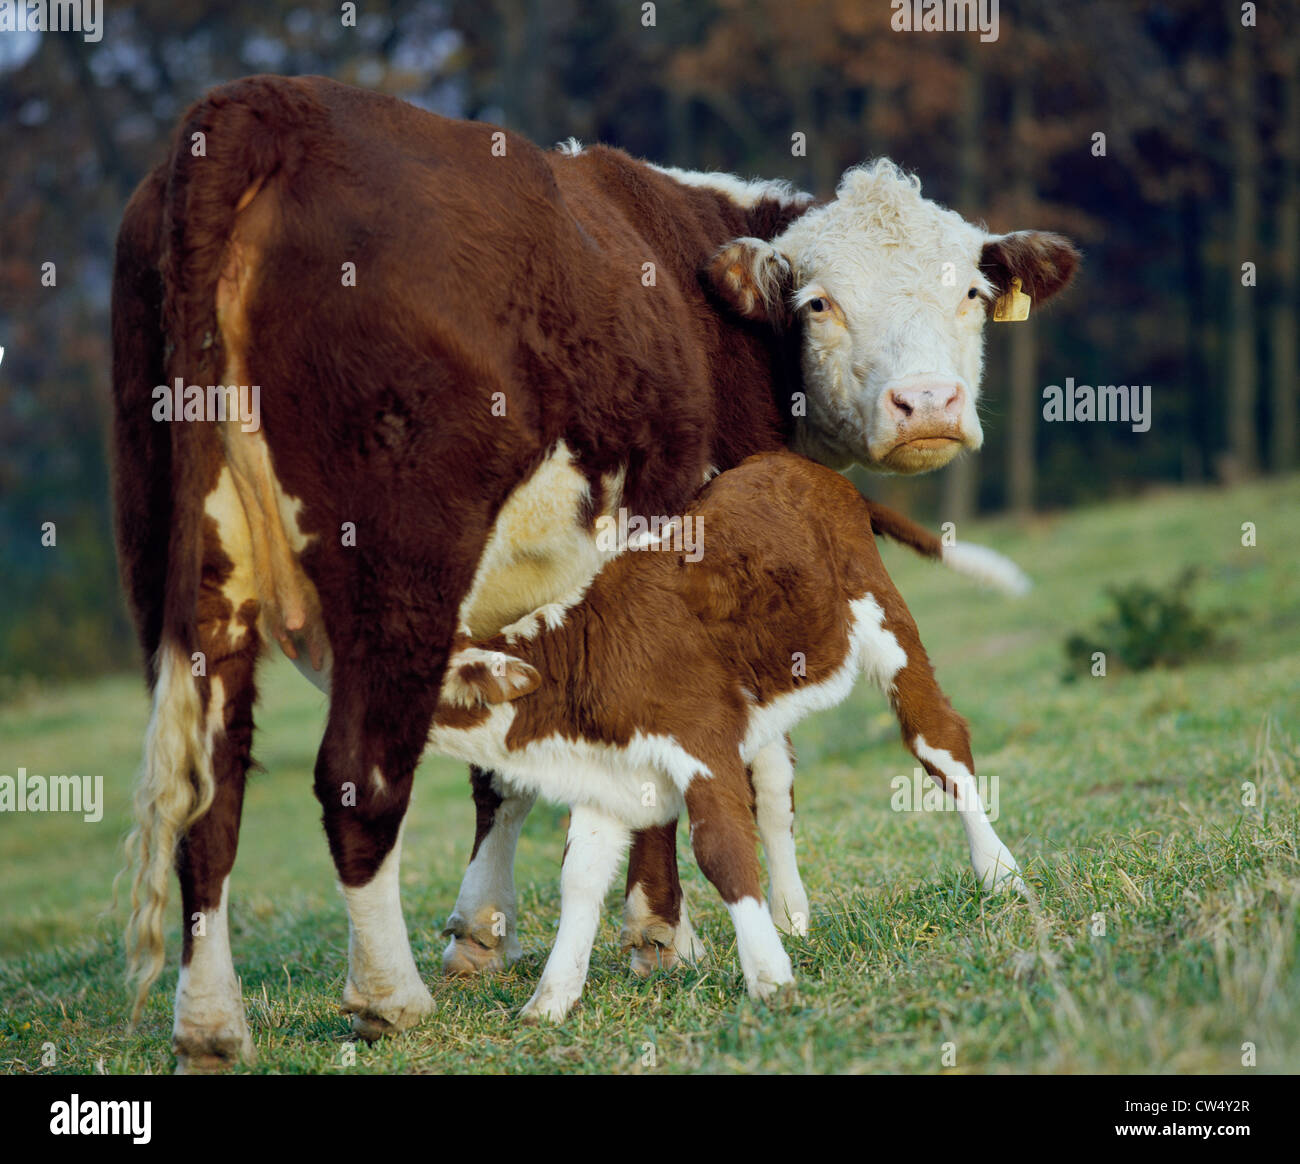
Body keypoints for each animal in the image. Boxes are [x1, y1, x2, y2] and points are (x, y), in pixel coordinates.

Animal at [431, 450, 1024, 1022]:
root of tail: (798, 464)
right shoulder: (609, 770)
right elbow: (579, 877)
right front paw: (550, 1000)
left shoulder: (702, 742)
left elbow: (722, 850)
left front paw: (770, 979)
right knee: (777, 795)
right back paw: (791, 916)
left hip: (883, 616)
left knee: (938, 740)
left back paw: (1000, 874)